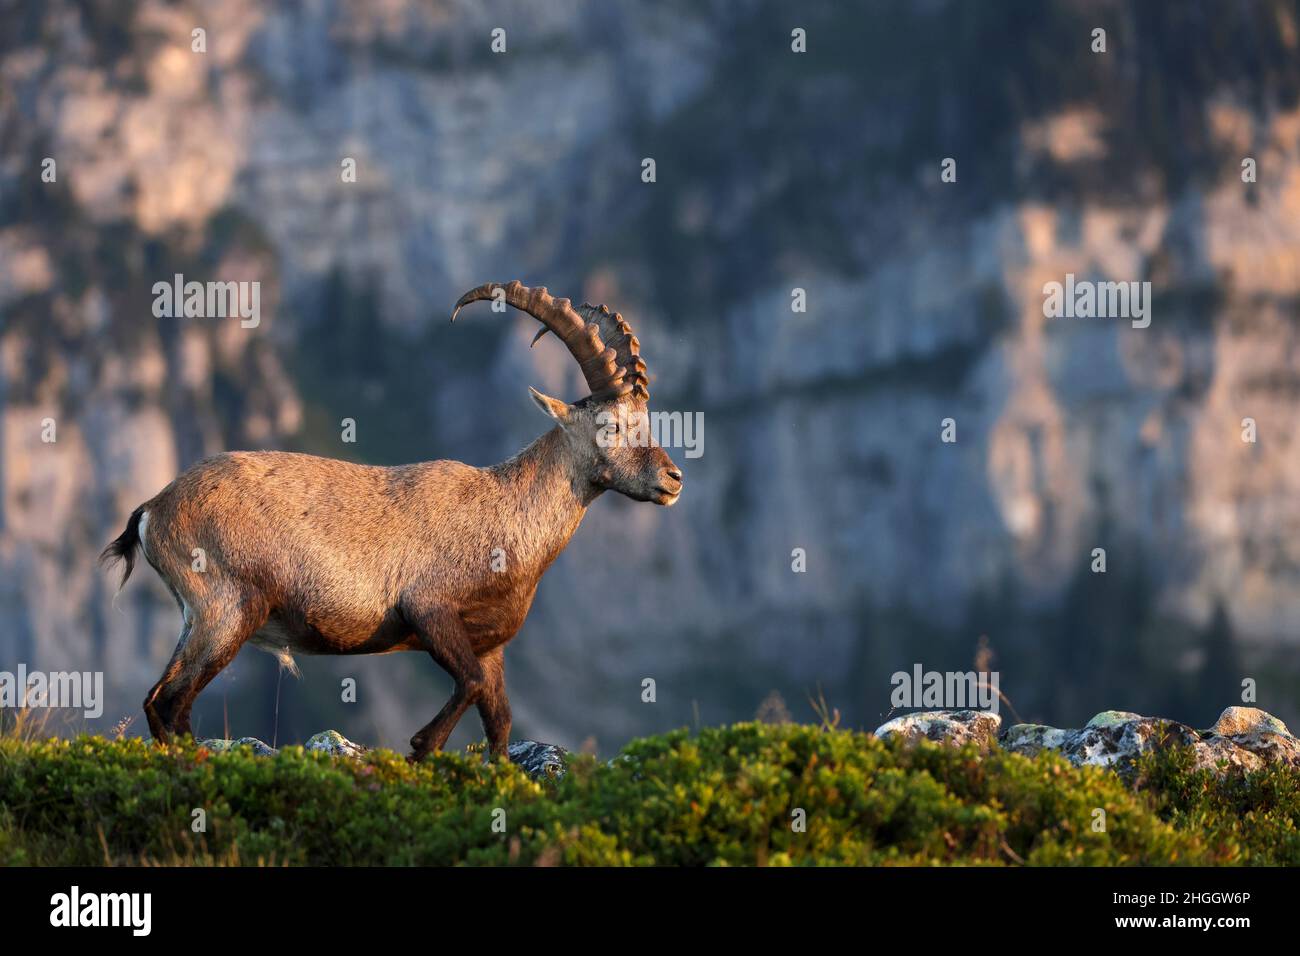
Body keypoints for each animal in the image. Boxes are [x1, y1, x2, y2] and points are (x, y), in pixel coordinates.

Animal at [100, 282, 683, 759]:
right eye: (610, 425)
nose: (673, 478)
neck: (505, 516)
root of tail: (153, 508)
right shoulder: (428, 609)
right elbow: (470, 684)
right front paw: (421, 747)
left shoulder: (490, 644)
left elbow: (499, 721)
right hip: (226, 608)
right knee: (169, 701)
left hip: (199, 616)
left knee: (163, 701)